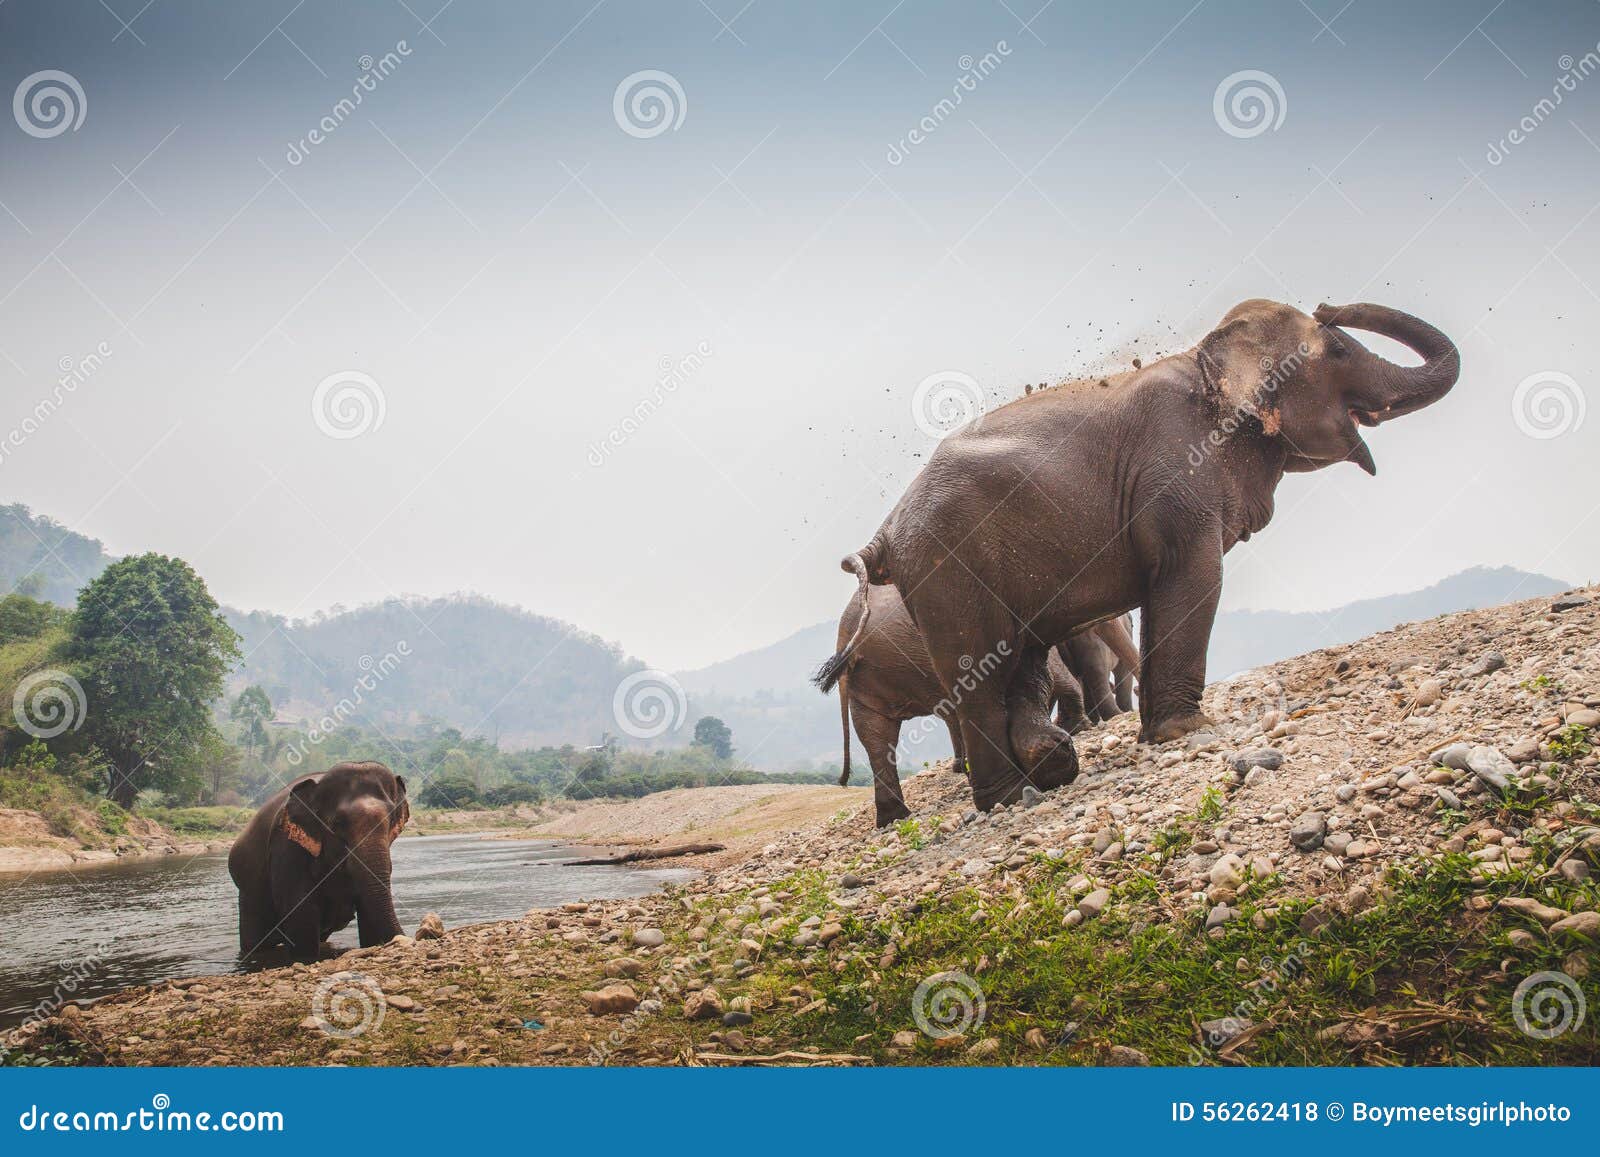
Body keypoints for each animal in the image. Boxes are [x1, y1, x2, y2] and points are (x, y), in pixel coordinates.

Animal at [228, 761, 410, 959]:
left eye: (391, 818)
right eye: (337, 823)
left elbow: (369, 916)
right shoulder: (285, 846)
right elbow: (301, 915)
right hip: (248, 893)